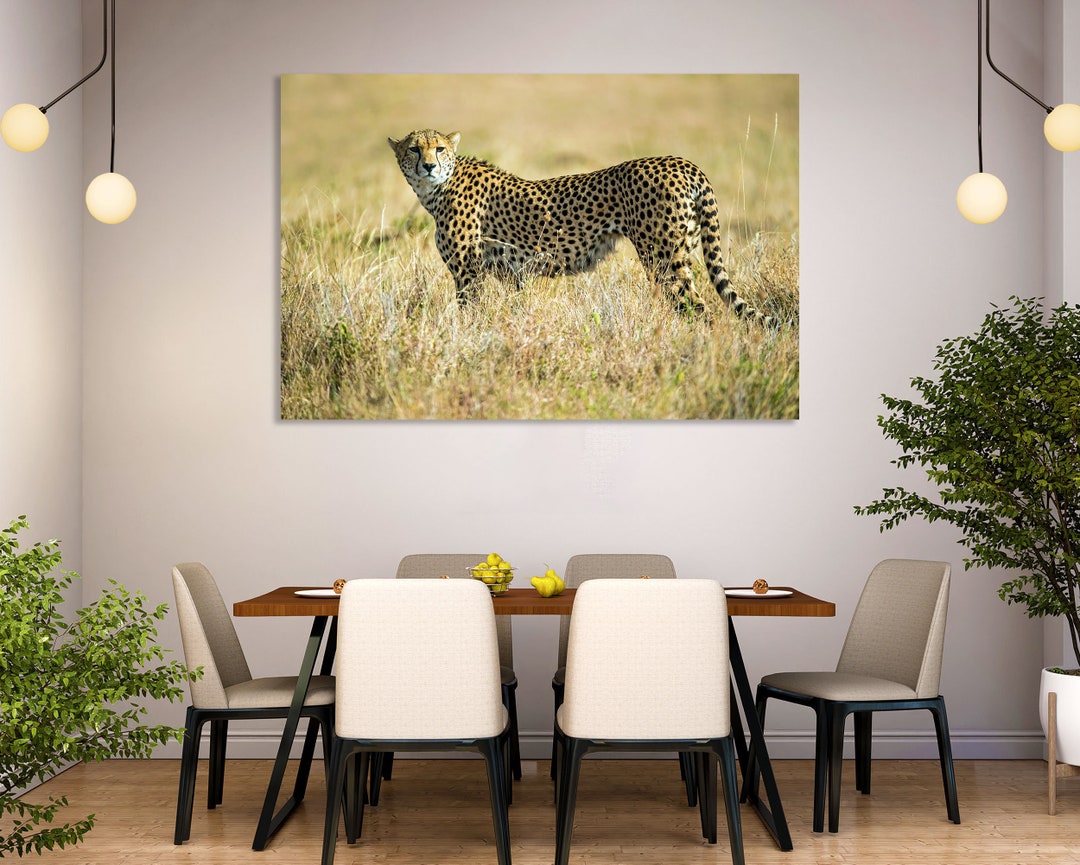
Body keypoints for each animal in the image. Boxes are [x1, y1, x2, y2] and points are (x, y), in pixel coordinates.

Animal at [388, 129, 773, 326]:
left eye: (439, 148)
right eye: (414, 149)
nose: (428, 166)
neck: (437, 189)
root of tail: (682, 162)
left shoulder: (468, 273)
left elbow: (470, 313)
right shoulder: (512, 275)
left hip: (664, 261)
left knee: (700, 309)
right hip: (683, 248)